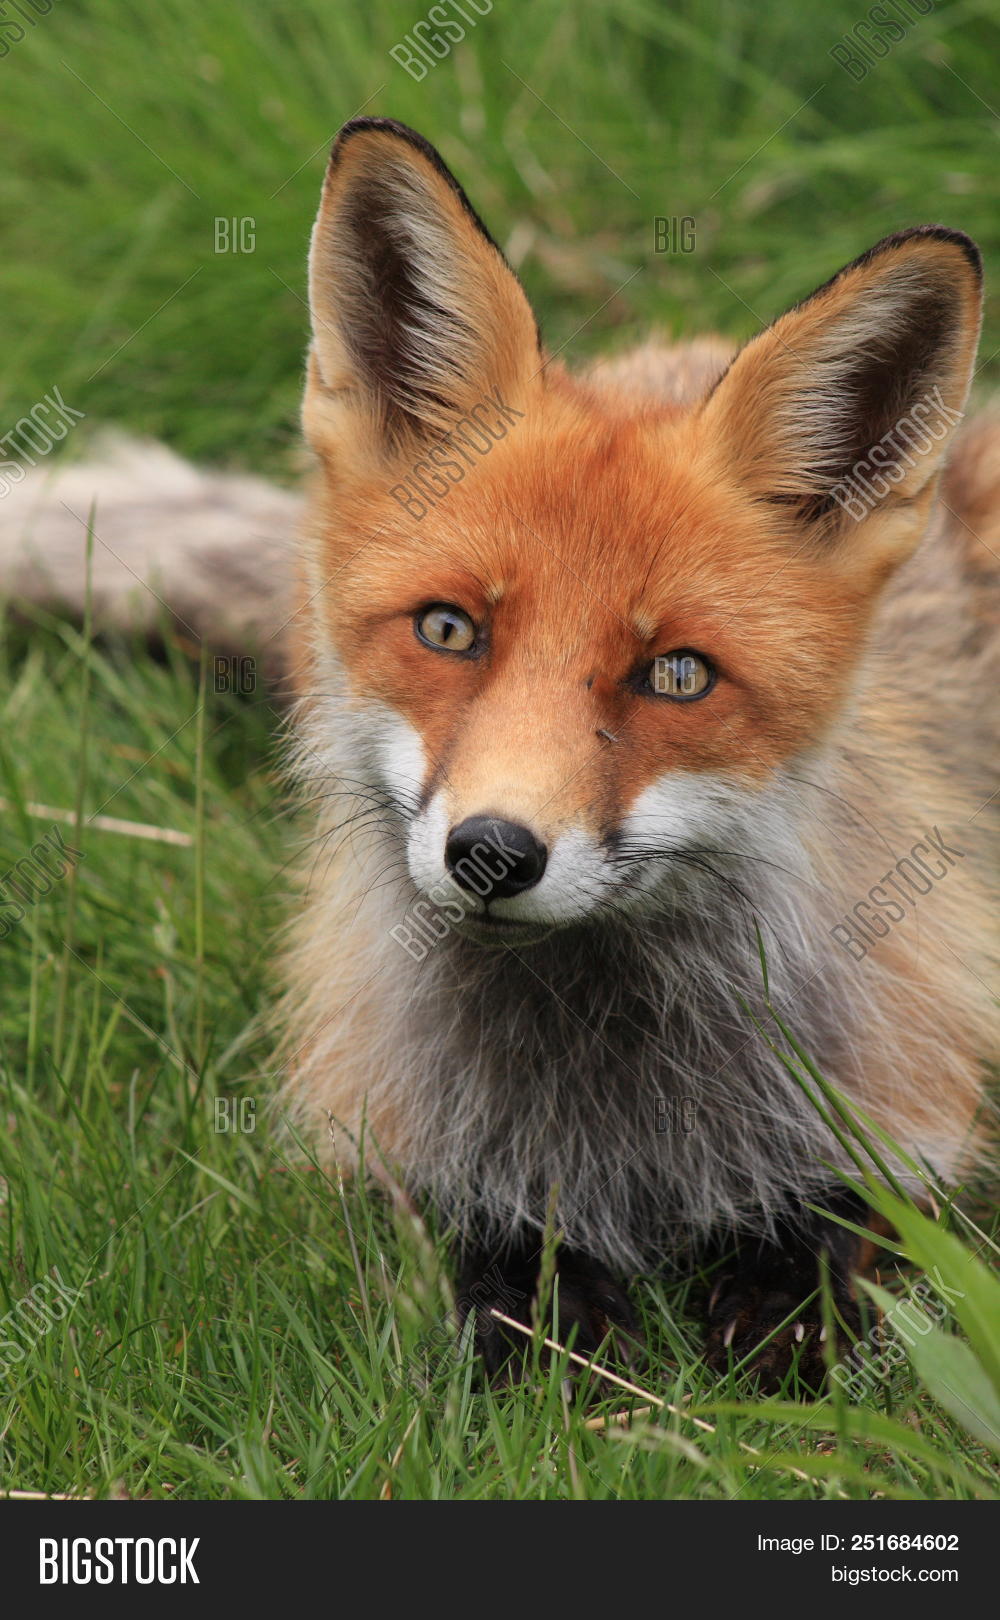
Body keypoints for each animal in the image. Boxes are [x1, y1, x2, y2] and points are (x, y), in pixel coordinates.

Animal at [2, 117, 997, 1391]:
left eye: (677, 674)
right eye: (448, 630)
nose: (491, 853)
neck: (609, 1104)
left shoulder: (911, 1097)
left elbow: (823, 1270)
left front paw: (762, 1364)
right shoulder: (397, 1138)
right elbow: (503, 1292)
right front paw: (572, 1372)